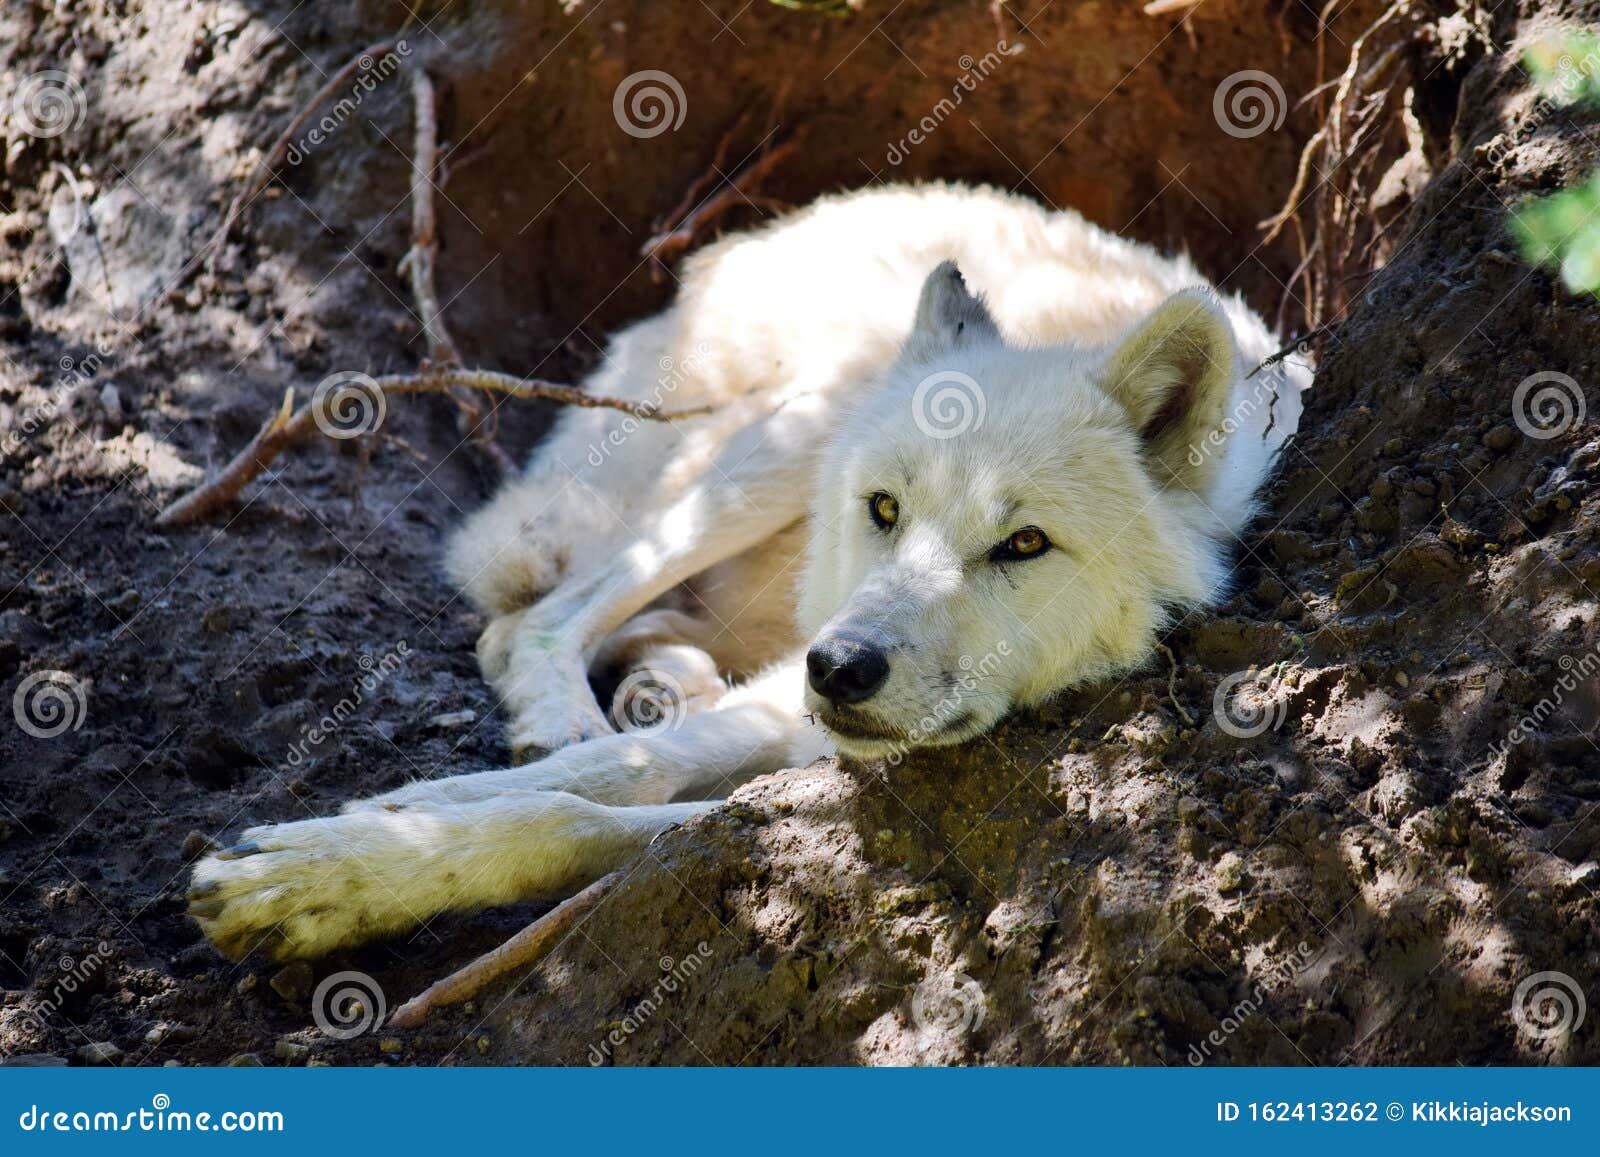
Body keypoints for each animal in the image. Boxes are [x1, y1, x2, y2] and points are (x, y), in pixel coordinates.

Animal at [189, 184, 1306, 961]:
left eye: (1023, 544)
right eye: (885, 509)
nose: (842, 669)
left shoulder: (809, 740)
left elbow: (579, 809)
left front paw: (349, 863)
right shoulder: (799, 689)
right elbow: (600, 773)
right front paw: (380, 827)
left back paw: (657, 679)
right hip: (781, 450)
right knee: (540, 618)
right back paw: (585, 701)